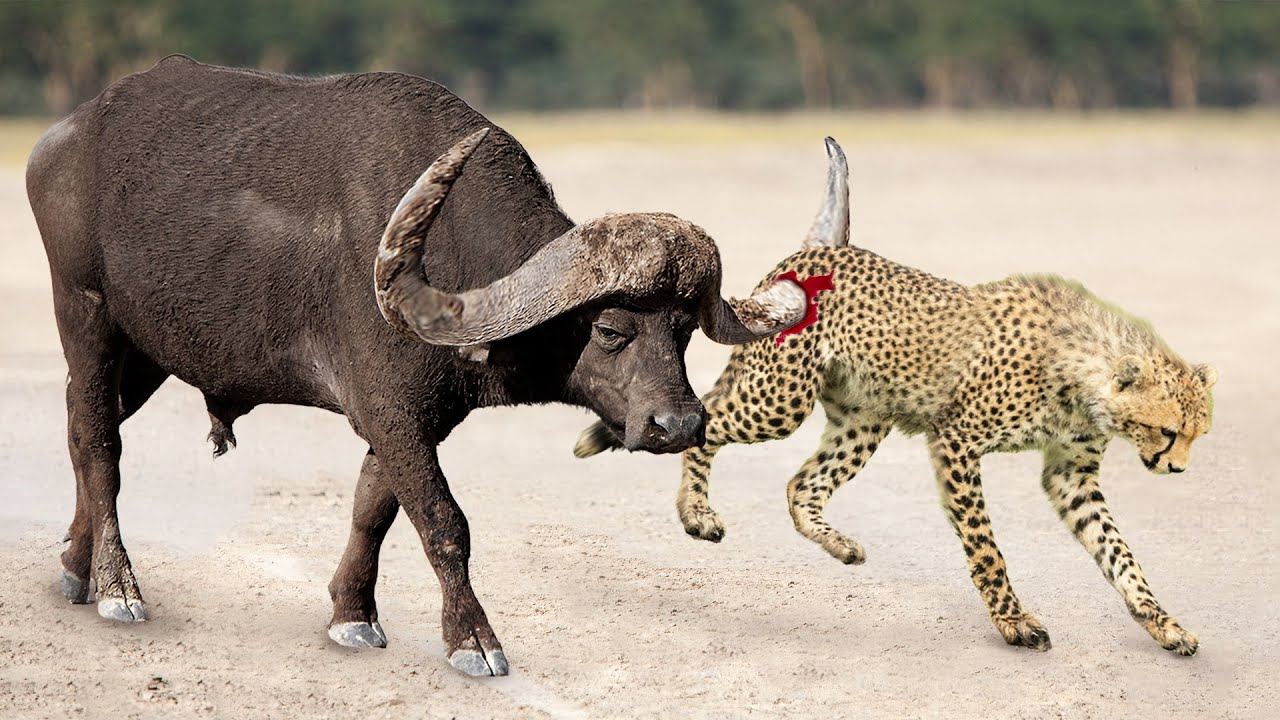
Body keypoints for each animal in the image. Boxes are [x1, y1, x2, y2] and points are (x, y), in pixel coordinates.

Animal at [573, 137, 1218, 656]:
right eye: (1168, 431)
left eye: (1197, 435)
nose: (1178, 469)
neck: (1084, 373)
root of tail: (820, 249)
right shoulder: (957, 442)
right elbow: (987, 547)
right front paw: (1013, 621)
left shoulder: (1070, 475)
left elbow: (1119, 553)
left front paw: (1163, 624)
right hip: (780, 399)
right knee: (707, 422)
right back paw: (695, 512)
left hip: (864, 419)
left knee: (801, 484)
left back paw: (839, 545)